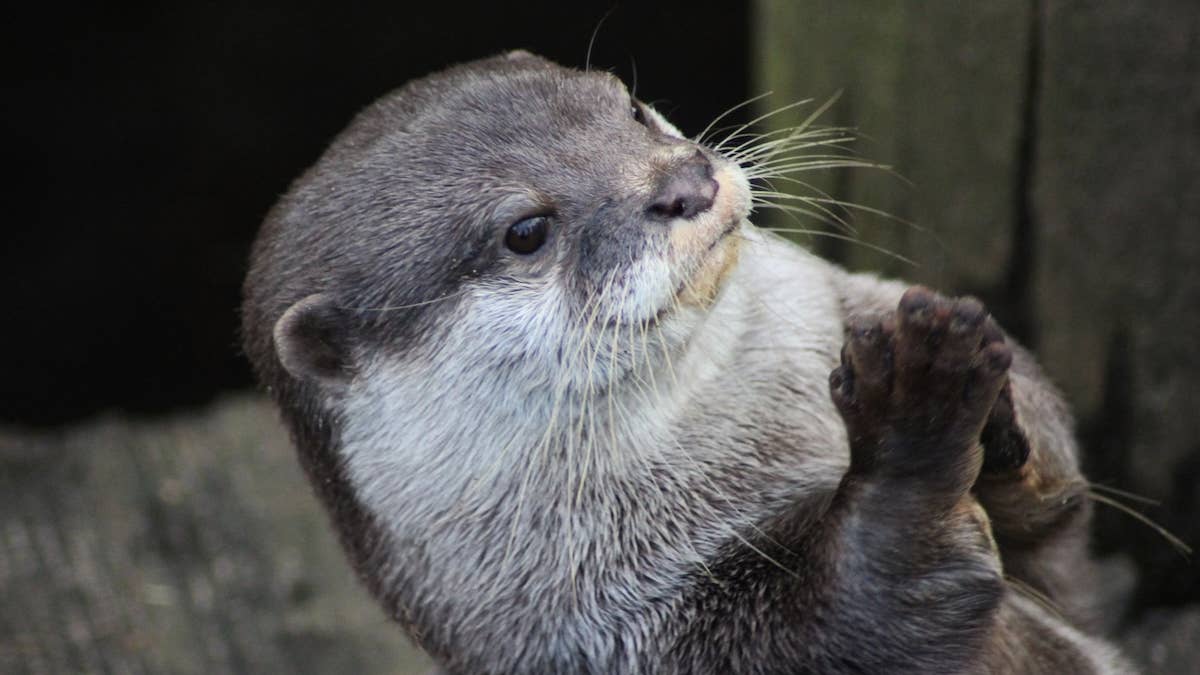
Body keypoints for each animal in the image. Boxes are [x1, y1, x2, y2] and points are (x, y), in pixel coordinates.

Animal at [241, 51, 1133, 673]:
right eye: (525, 231)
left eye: (634, 110)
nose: (685, 180)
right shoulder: (633, 638)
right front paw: (916, 425)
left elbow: (1065, 541)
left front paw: (998, 419)